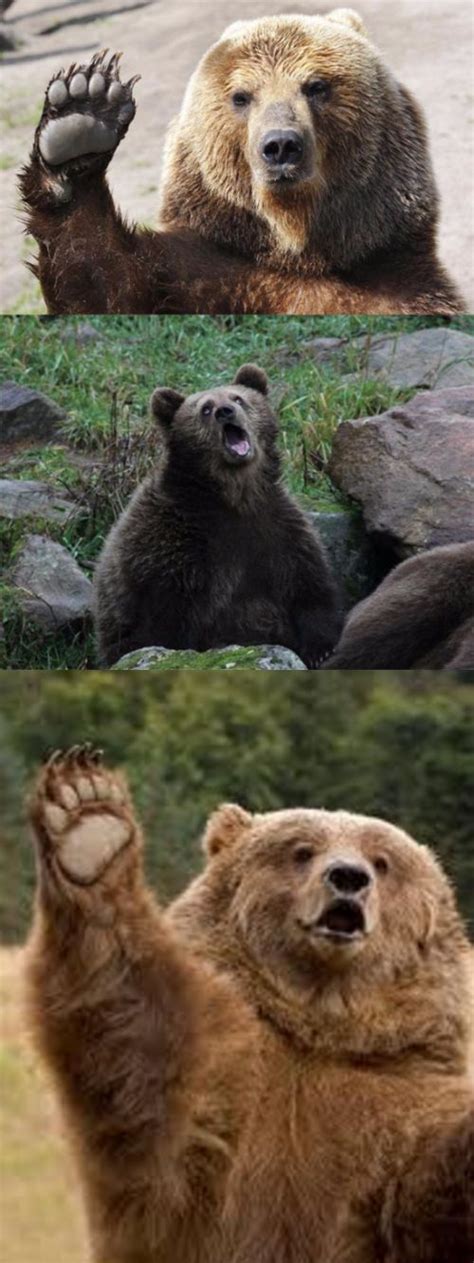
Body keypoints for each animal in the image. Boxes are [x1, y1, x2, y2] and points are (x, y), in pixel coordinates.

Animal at [19, 11, 463, 316]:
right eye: (241, 96)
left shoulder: (402, 289)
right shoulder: (208, 273)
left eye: (316, 86)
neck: (298, 249)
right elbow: (102, 284)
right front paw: (82, 116)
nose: (281, 146)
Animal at [26, 745, 474, 1263]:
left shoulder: (394, 1107)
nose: (348, 877)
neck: (316, 1028)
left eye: (383, 861)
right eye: (302, 850)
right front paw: (88, 818)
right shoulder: (221, 1096)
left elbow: (421, 1190)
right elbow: (142, 1041)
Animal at [92, 363, 341, 668]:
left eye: (238, 398)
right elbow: (167, 622)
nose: (225, 411)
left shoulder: (277, 529)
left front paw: (321, 649)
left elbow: (307, 585)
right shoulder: (174, 547)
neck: (233, 498)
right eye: (205, 408)